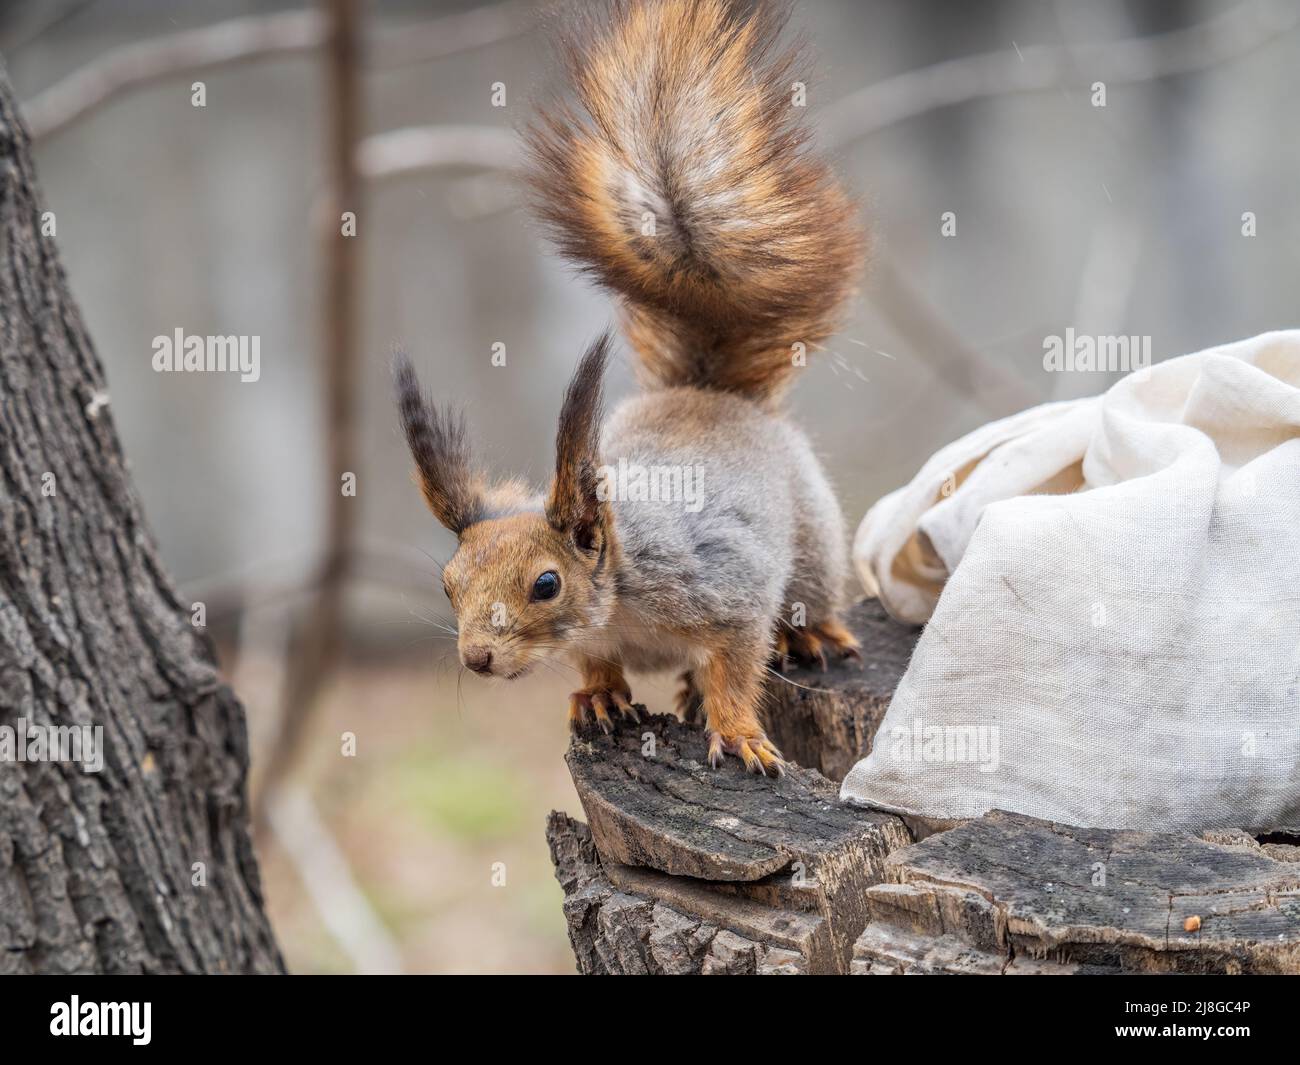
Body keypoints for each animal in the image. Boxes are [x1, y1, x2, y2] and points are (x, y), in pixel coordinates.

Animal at [395, 0, 864, 775]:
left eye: (546, 584)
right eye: (449, 583)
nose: (477, 659)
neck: (620, 600)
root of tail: (709, 395)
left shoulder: (725, 591)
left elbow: (736, 665)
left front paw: (738, 732)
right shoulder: (596, 639)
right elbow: (596, 664)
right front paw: (598, 697)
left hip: (815, 538)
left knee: (810, 594)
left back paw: (813, 633)